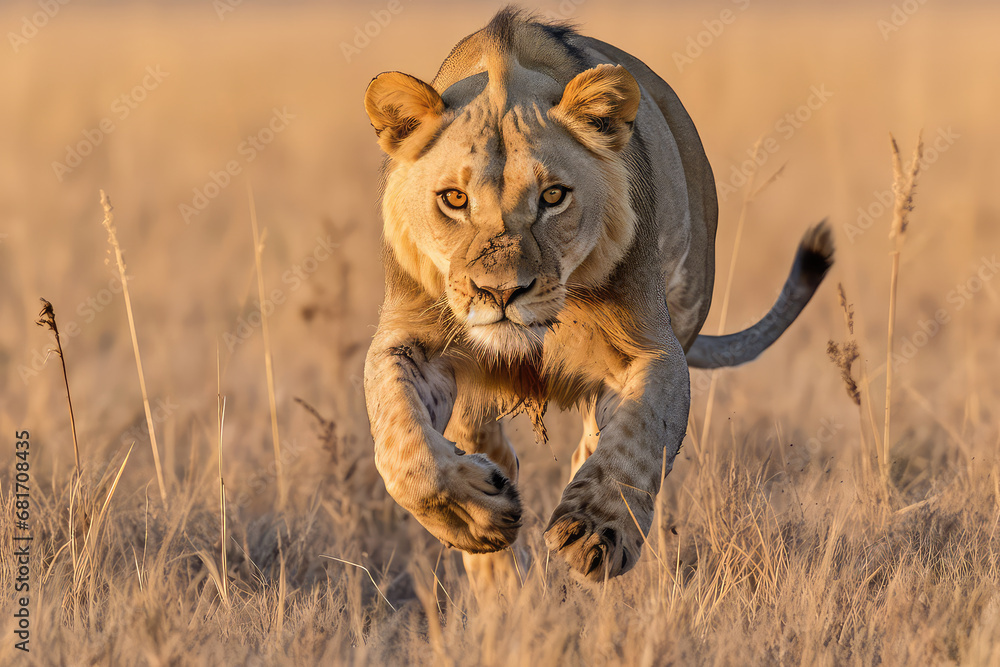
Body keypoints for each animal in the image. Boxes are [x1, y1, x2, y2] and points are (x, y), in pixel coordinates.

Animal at [362, 7, 833, 583]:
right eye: (453, 198)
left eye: (553, 196)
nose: (501, 292)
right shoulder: (409, 338)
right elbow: (402, 444)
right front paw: (474, 517)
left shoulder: (654, 348)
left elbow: (639, 434)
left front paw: (593, 531)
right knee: (476, 429)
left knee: (596, 434)